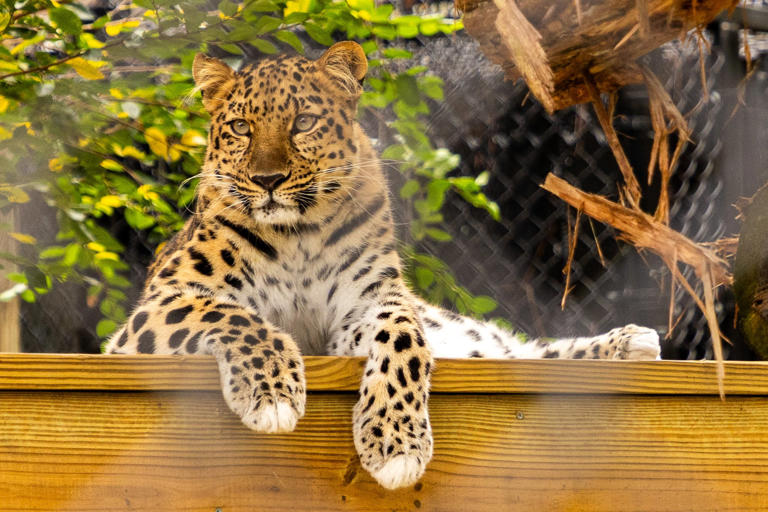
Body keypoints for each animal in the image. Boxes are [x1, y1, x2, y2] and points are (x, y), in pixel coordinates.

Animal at [105, 41, 661, 490]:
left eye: (302, 123)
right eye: (241, 128)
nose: (266, 180)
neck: (295, 237)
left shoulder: (371, 298)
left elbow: (403, 337)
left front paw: (396, 441)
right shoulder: (153, 309)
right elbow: (232, 315)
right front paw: (272, 391)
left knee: (530, 354)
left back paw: (630, 342)